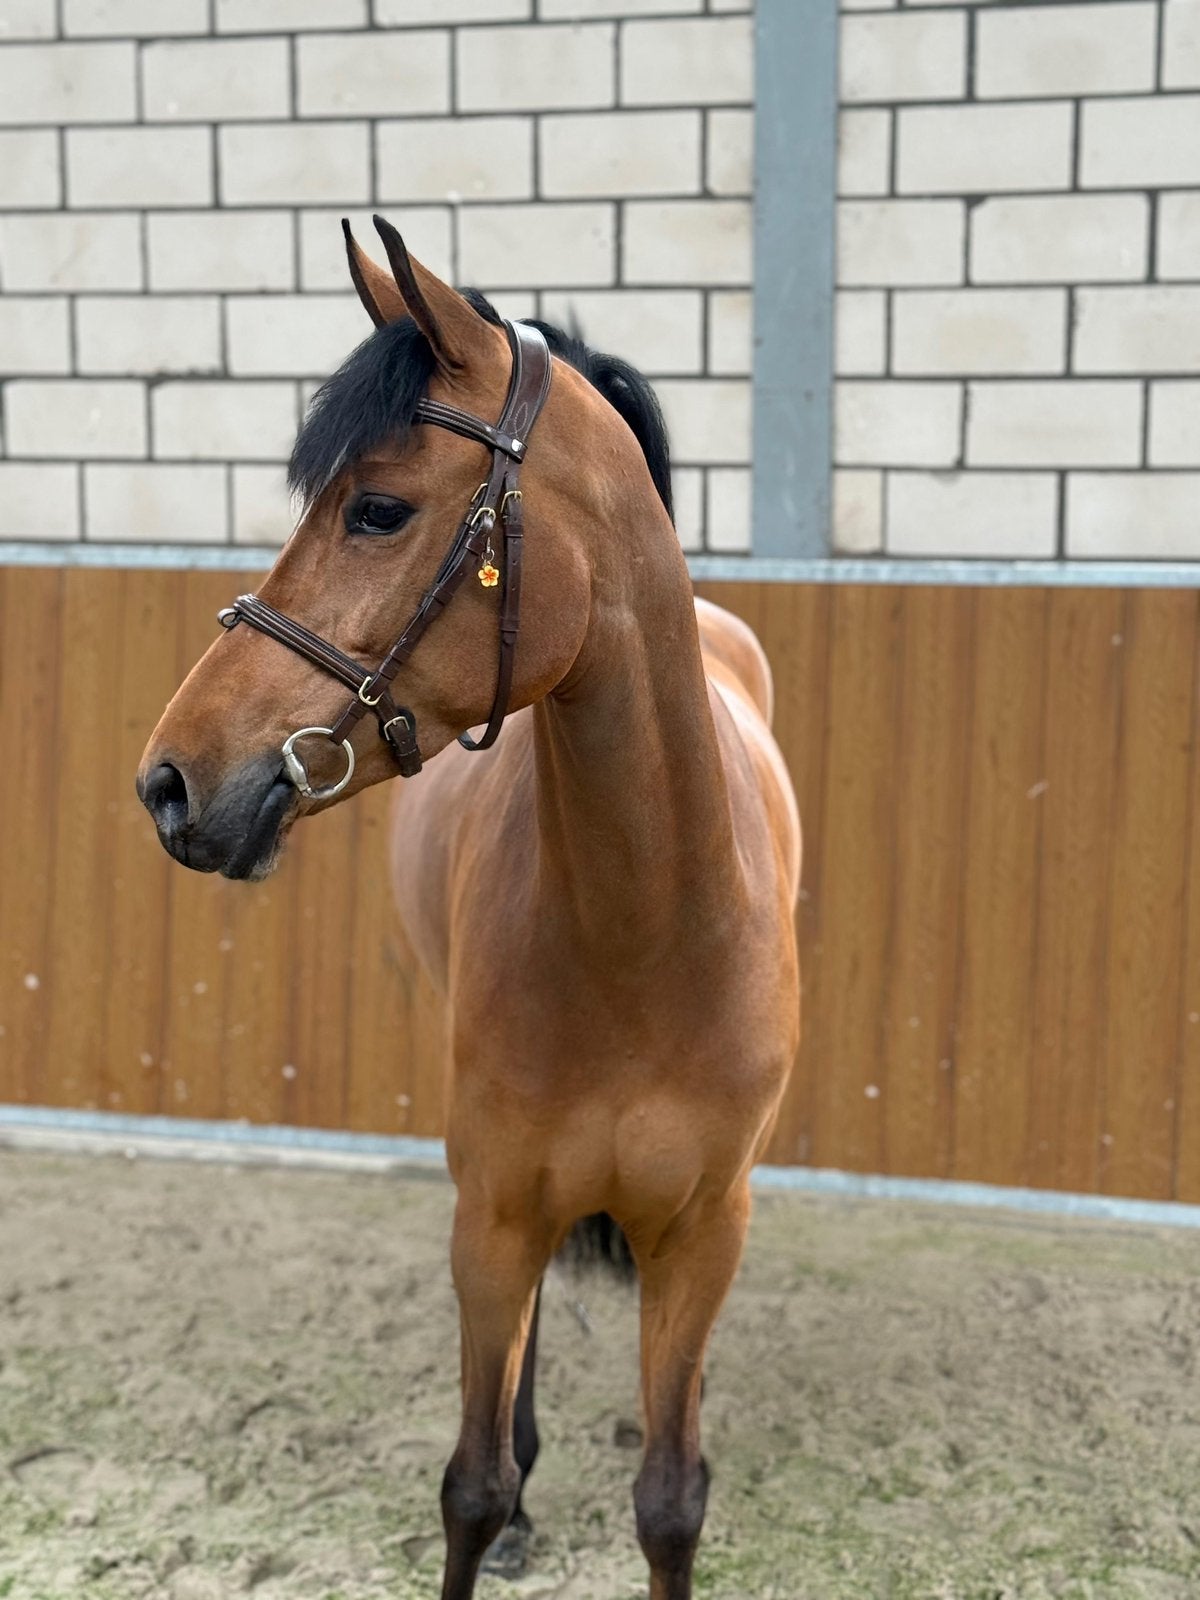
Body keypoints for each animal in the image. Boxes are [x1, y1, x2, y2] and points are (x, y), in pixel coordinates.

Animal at [137, 216, 801, 1600]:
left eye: (379, 509)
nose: (167, 781)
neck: (648, 937)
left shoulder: (705, 1237)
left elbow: (671, 1500)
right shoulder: (491, 1216)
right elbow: (473, 1486)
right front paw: (514, 1501)